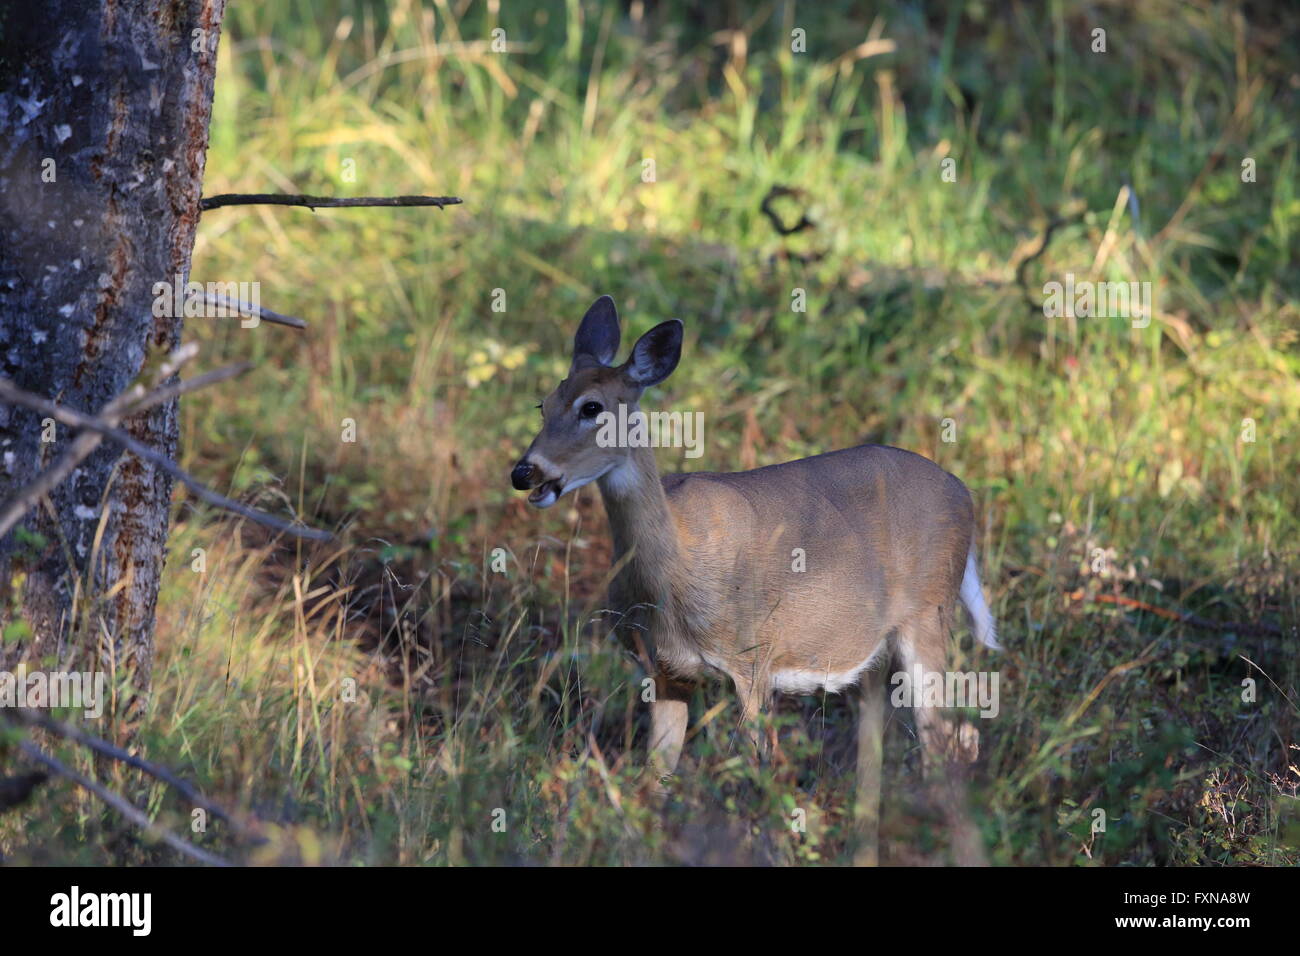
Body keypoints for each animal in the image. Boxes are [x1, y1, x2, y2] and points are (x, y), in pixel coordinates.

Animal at [510, 295, 1000, 864]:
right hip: (873, 658)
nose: (525, 472)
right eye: (543, 404)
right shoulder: (665, 672)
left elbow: (751, 785)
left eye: (592, 407)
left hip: (928, 616)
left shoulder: (752, 664)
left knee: (949, 741)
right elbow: (654, 782)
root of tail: (964, 493)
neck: (674, 576)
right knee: (886, 755)